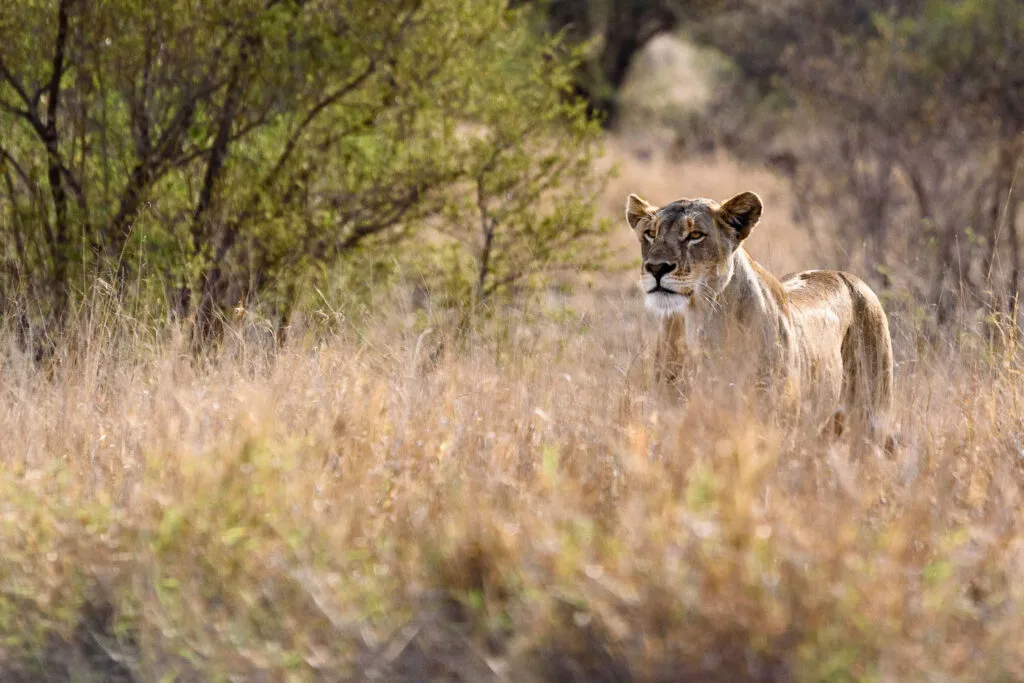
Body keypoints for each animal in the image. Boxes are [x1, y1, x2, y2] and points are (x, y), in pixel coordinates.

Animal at [625, 191, 894, 444]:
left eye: (695, 235)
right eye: (650, 233)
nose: (656, 268)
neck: (699, 322)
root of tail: (847, 275)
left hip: (871, 420)